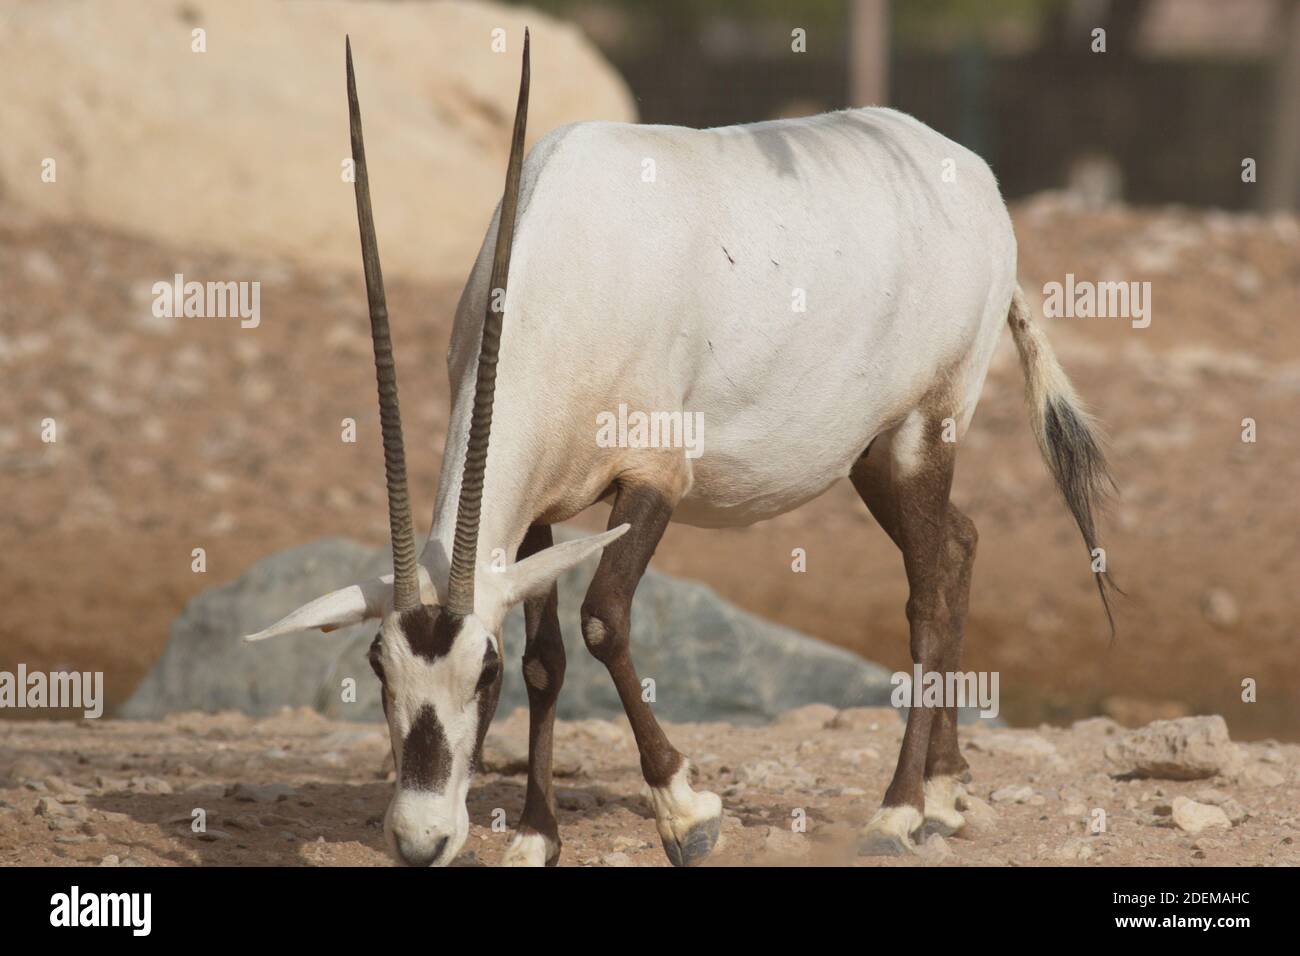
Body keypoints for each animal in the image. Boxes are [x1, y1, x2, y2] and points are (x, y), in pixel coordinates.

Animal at [245, 33, 1115, 867]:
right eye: (377, 665)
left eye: (480, 670)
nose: (421, 841)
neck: (559, 273)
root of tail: (972, 177)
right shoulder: (536, 511)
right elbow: (549, 657)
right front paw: (535, 836)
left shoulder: (653, 476)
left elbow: (603, 622)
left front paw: (688, 813)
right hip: (872, 457)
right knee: (959, 547)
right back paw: (943, 792)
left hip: (923, 432)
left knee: (928, 596)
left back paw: (896, 813)